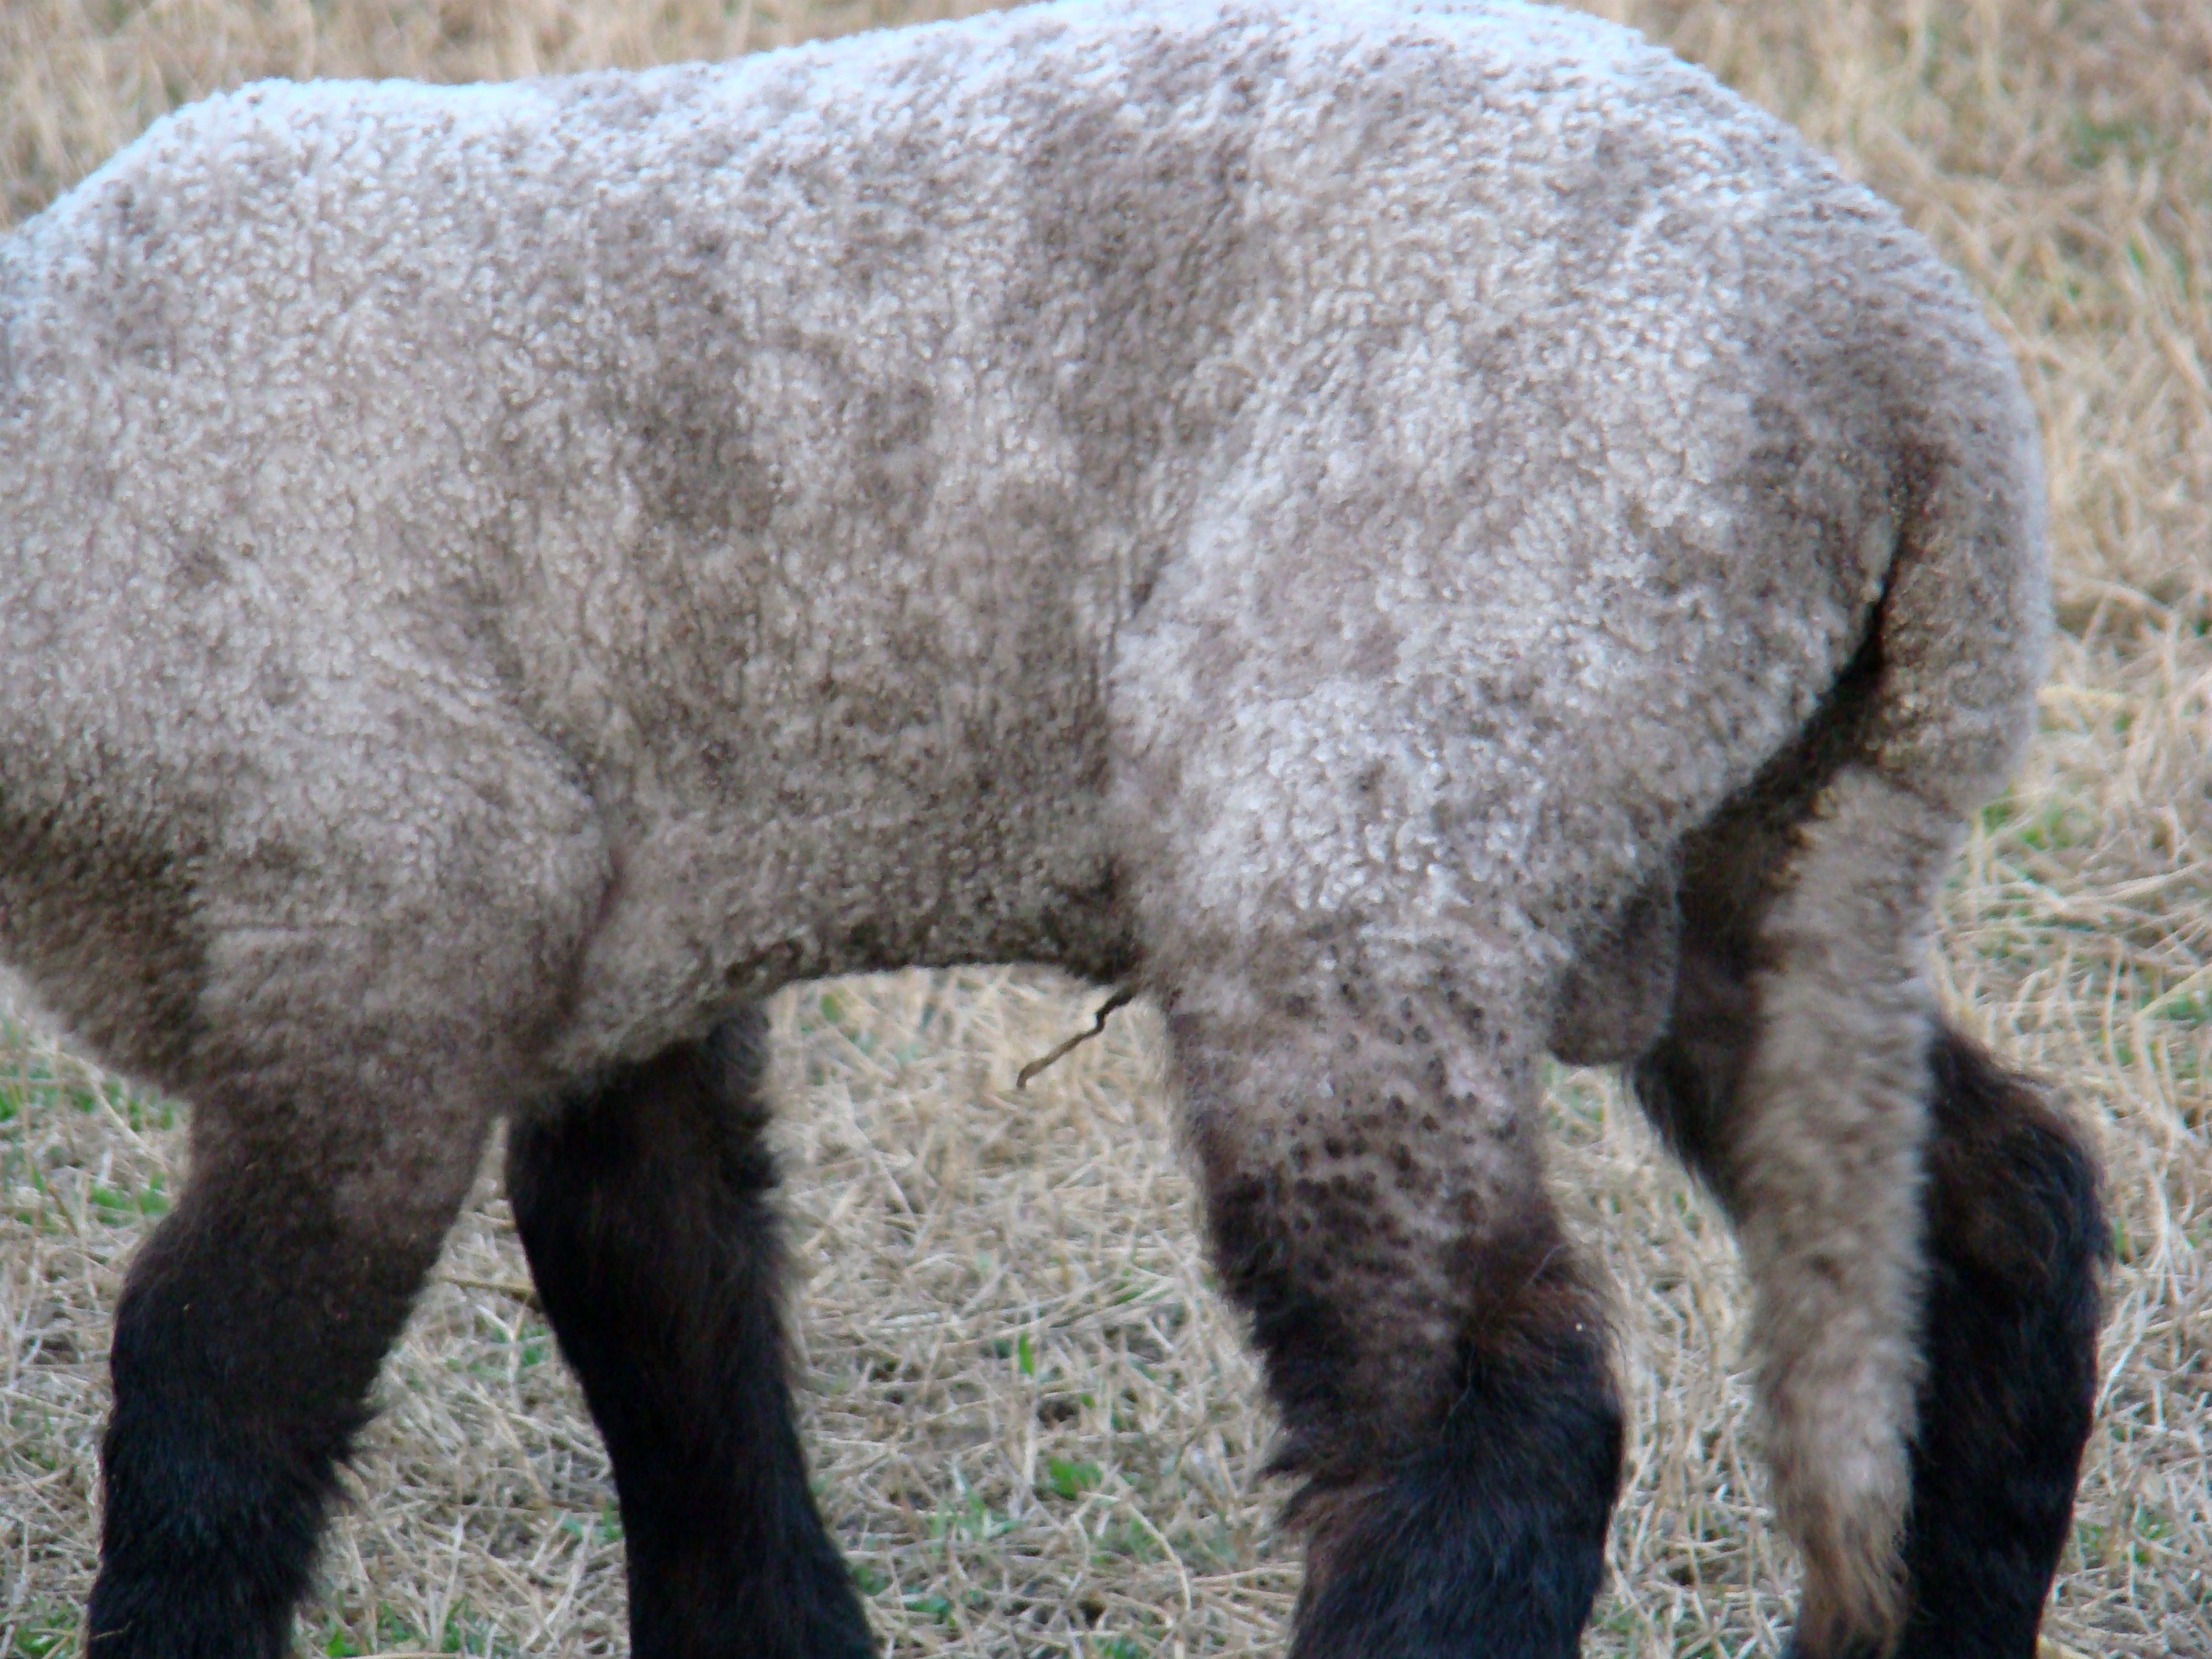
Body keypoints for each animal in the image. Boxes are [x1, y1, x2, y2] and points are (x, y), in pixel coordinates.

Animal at [0, 0, 2106, 1654]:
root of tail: (1914, 365)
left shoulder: (404, 897)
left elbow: (213, 1386)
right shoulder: (628, 932)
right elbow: (669, 1310)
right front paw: (779, 1634)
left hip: (1362, 787)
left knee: (1488, 1412)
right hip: (1755, 826)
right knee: (1993, 1213)